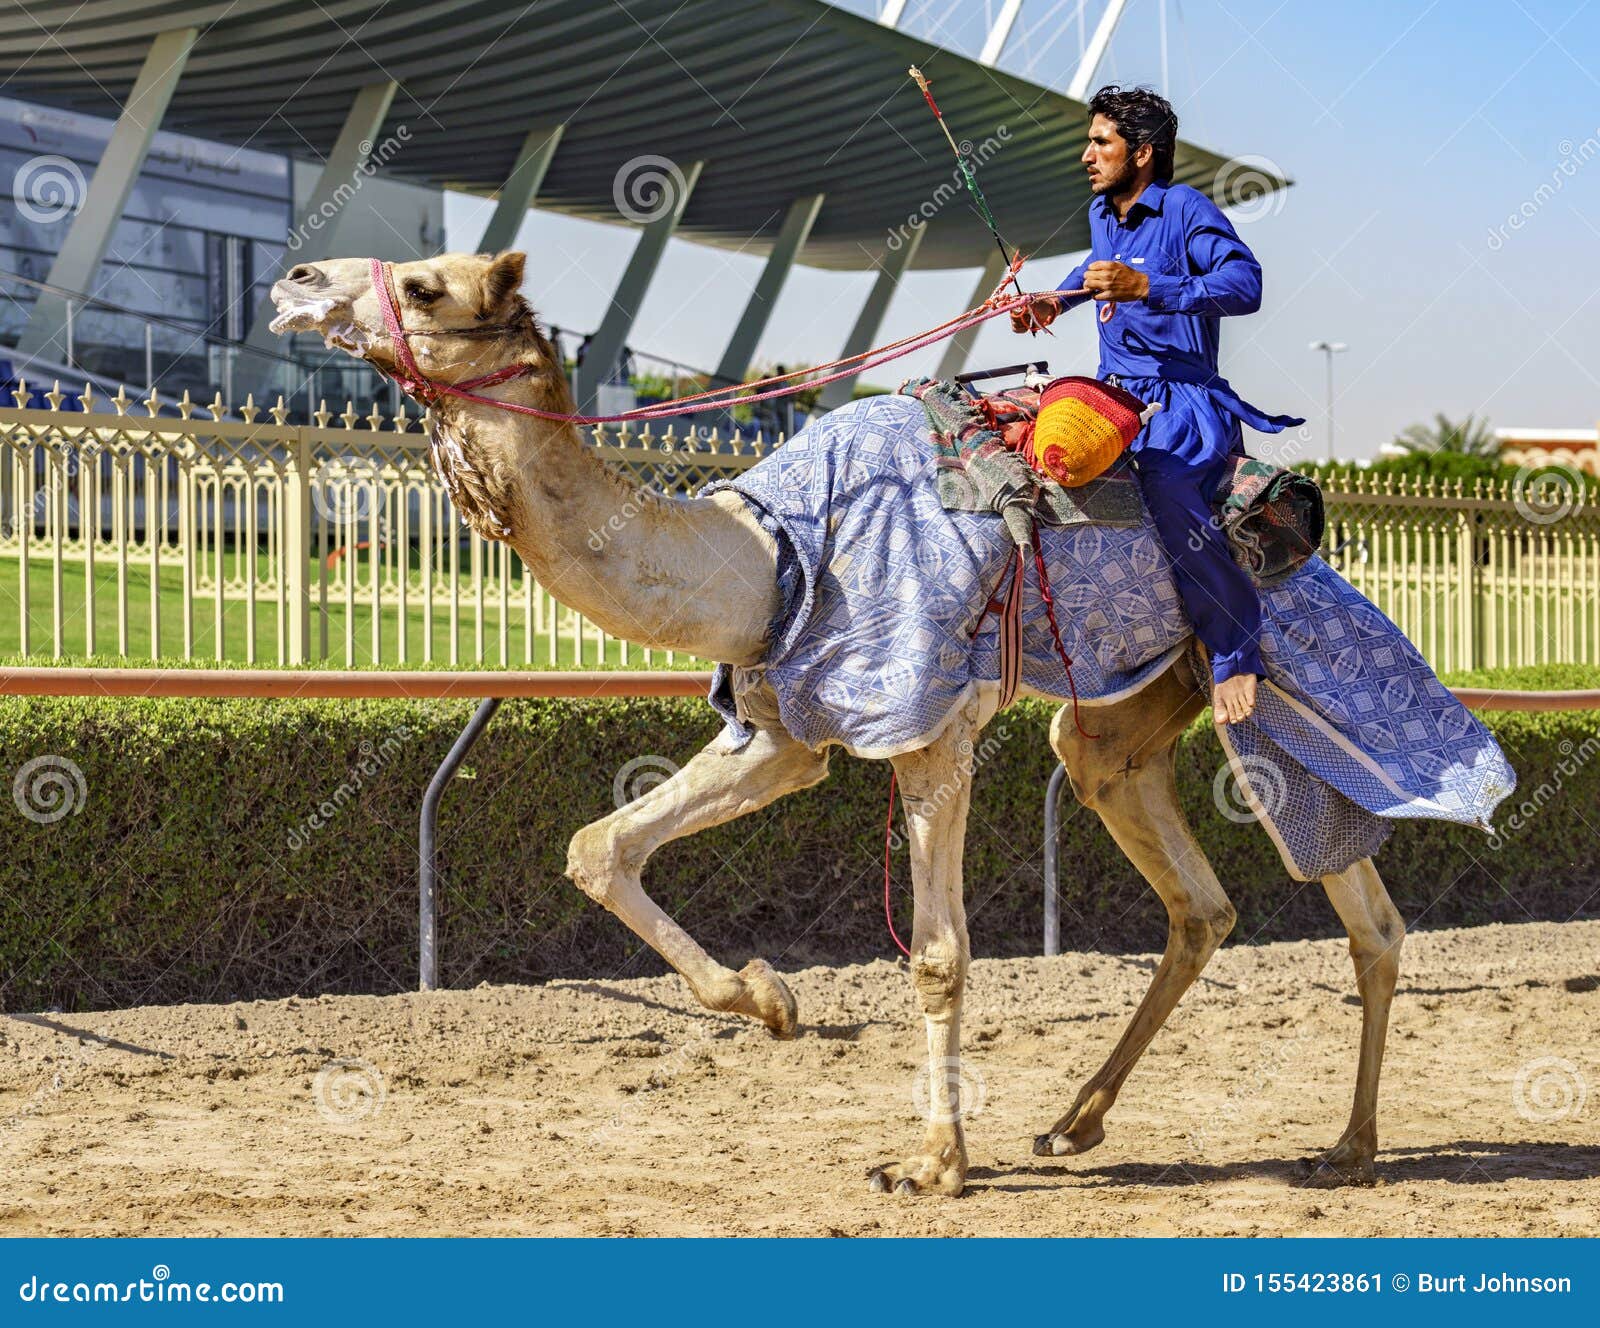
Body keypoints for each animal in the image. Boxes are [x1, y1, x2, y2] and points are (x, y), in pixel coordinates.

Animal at [271, 250, 1406, 1195]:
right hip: (1120, 719)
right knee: (1192, 892)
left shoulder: (929, 727)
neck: (769, 555)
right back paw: (1078, 1122)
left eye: (425, 286)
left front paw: (932, 1164)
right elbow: (601, 845)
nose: (293, 277)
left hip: (1270, 672)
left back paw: (1348, 1145)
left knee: (1361, 901)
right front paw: (769, 999)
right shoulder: (780, 728)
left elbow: (939, 953)